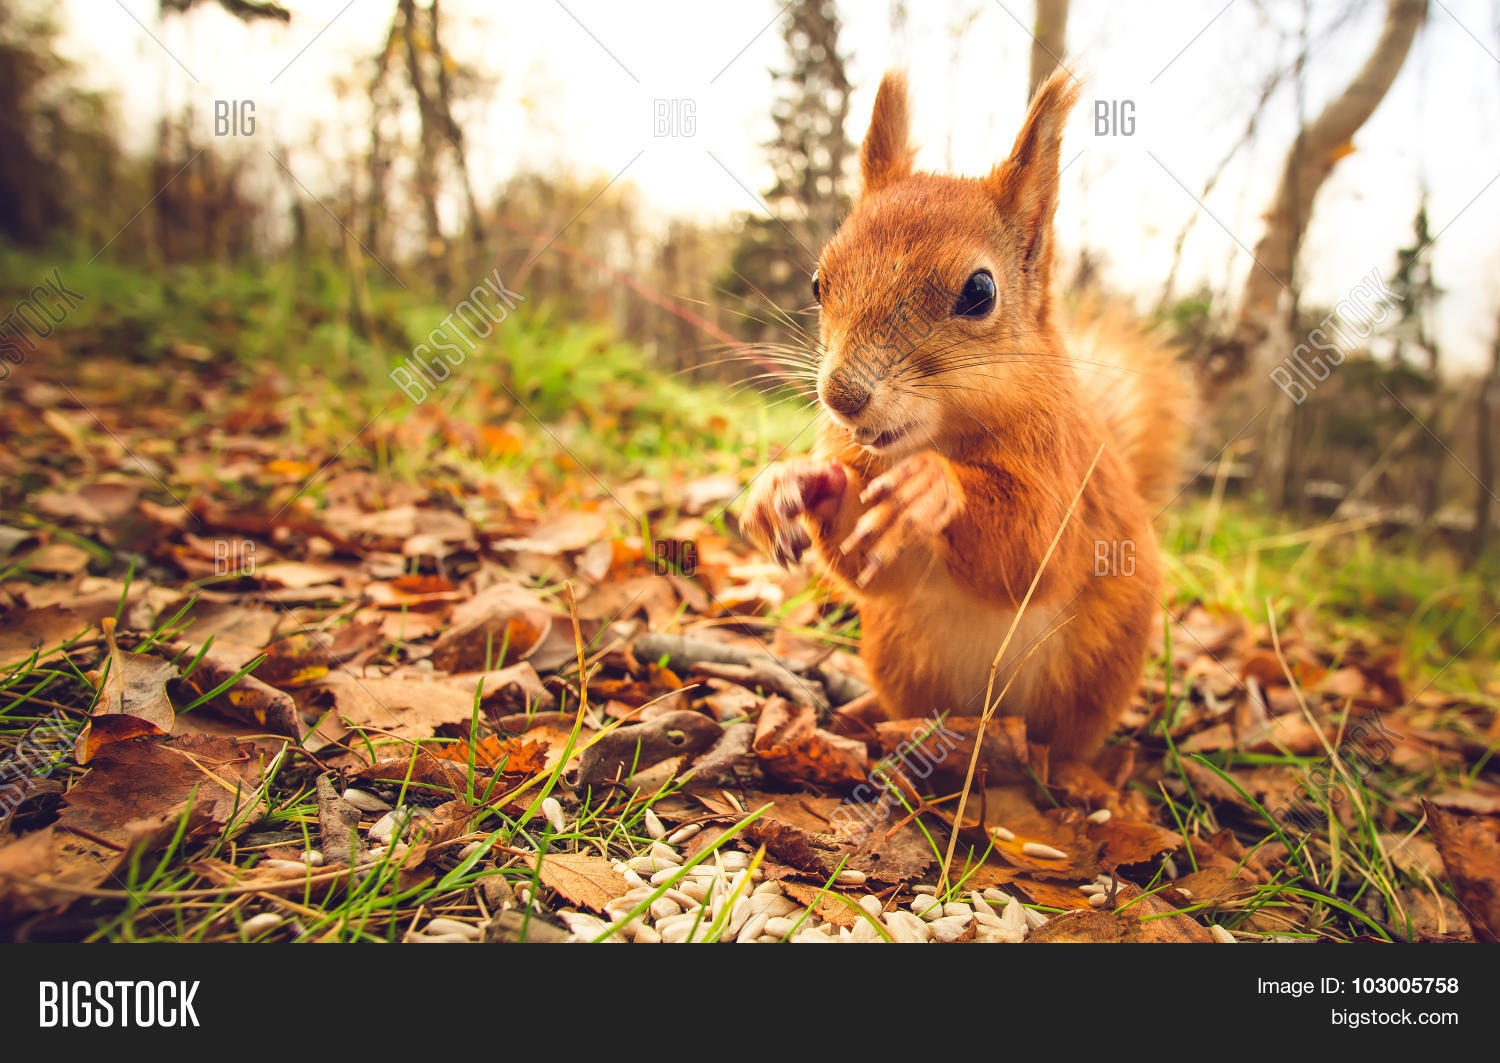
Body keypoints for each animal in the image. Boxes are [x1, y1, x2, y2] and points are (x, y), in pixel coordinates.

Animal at [741, 70, 1192, 761]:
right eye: (820, 282)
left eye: (979, 292)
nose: (842, 397)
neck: (935, 438)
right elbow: (867, 569)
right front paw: (787, 484)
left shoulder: (1065, 471)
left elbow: (1035, 550)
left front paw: (932, 489)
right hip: (900, 649)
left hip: (1095, 673)